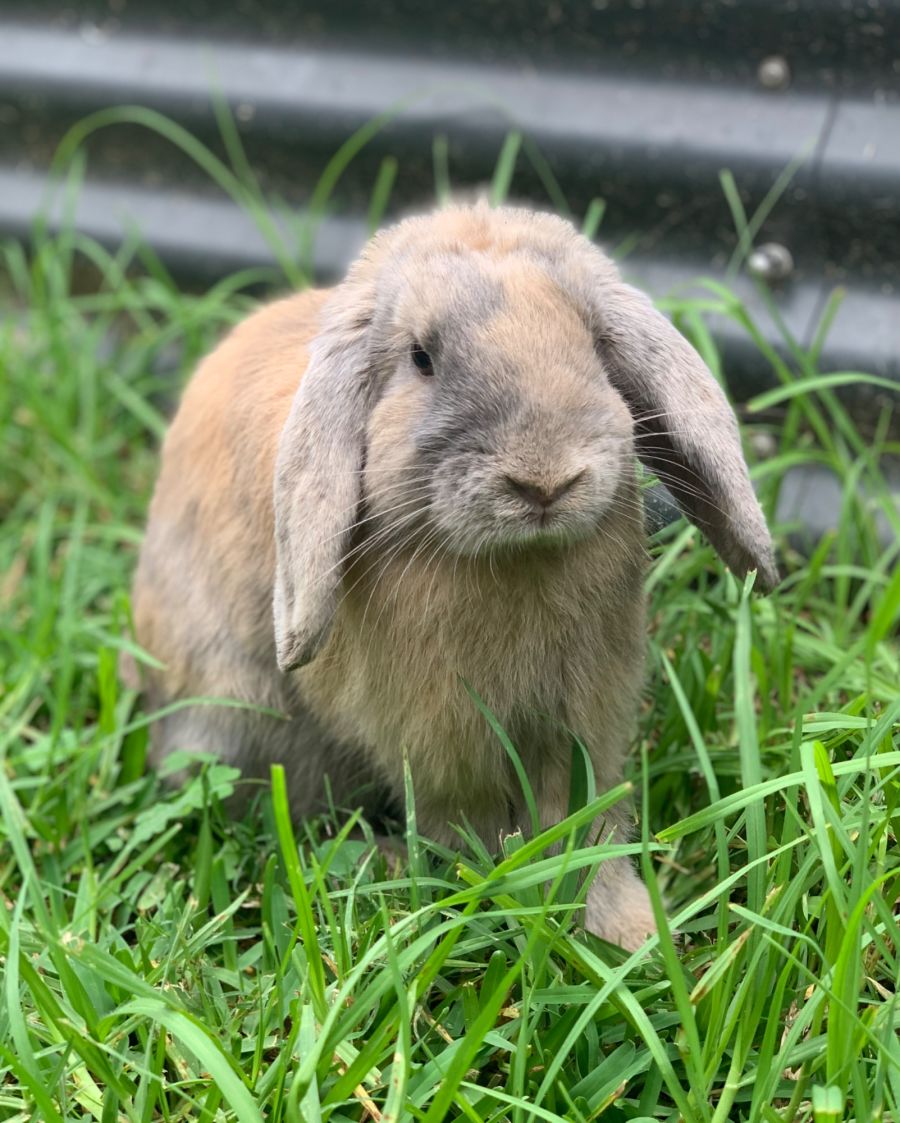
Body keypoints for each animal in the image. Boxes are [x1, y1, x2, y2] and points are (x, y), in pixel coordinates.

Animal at [132, 202, 777, 951]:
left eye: (592, 342)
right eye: (421, 358)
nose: (544, 479)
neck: (517, 561)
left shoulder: (584, 715)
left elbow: (583, 812)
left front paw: (625, 928)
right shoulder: (437, 737)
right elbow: (468, 819)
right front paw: (507, 896)